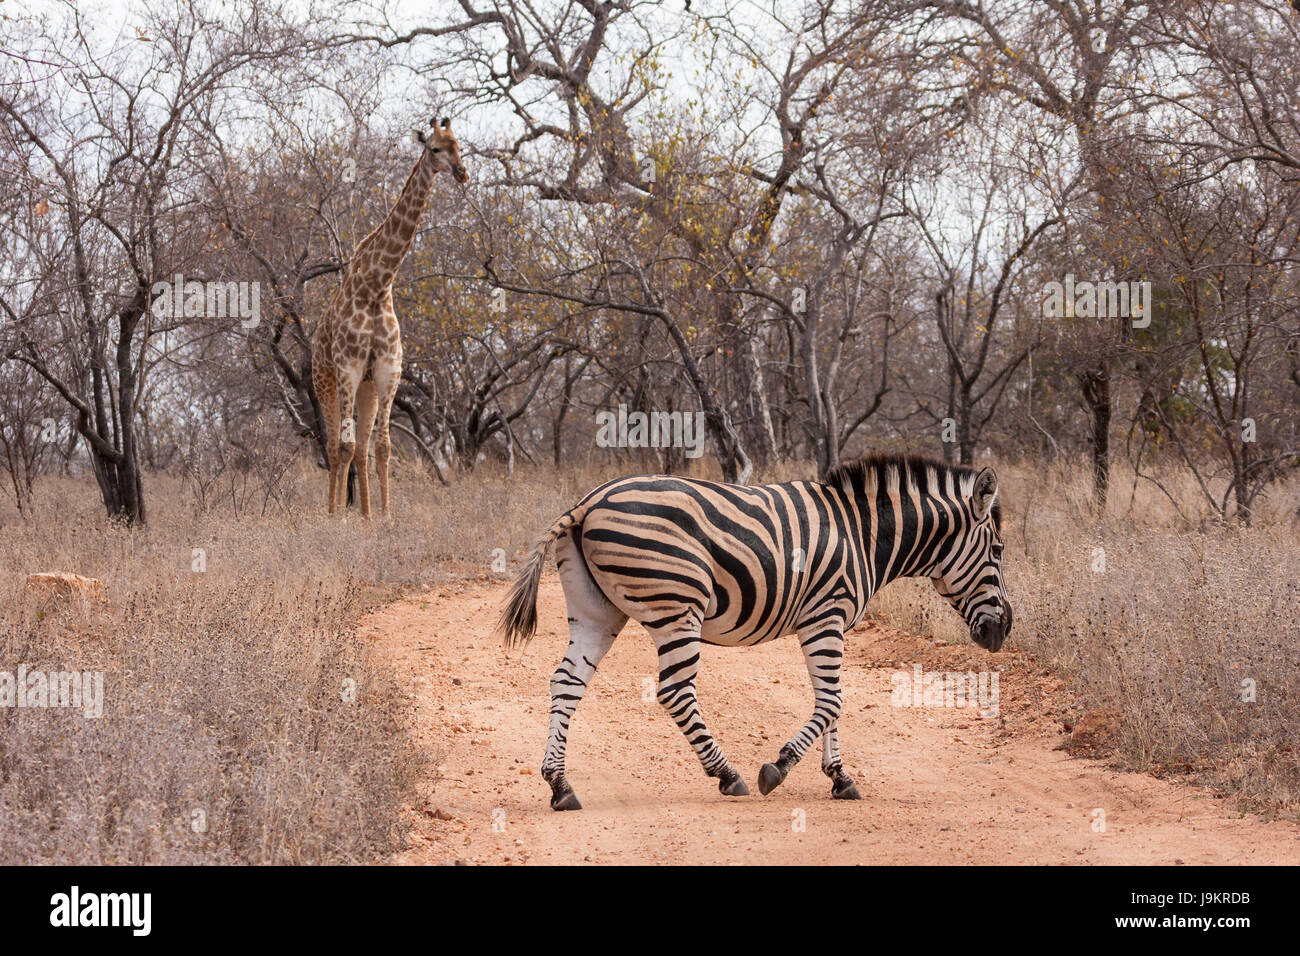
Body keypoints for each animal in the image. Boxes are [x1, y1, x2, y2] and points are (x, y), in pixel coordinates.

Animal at [497, 452, 1012, 811]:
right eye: (999, 551)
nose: (1003, 631)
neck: (863, 535)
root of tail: (588, 501)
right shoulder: (826, 615)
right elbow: (832, 701)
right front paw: (779, 769)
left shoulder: (828, 622)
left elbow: (832, 700)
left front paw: (840, 778)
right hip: (678, 607)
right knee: (675, 692)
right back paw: (728, 775)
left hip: (596, 612)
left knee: (566, 684)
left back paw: (560, 786)